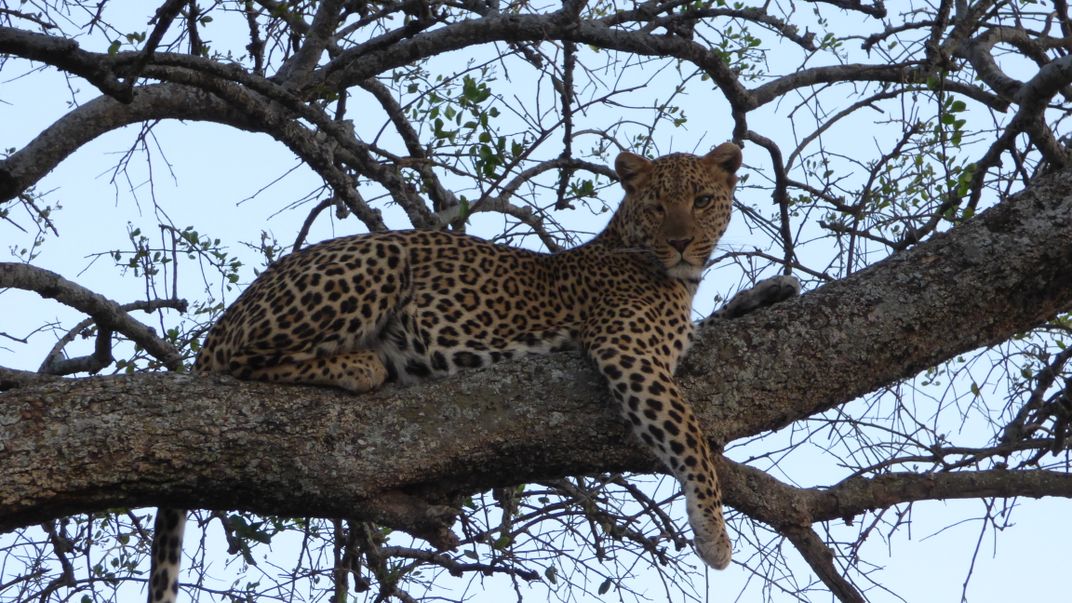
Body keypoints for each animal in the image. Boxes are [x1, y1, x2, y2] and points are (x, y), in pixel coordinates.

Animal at [147, 142, 742, 603]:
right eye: (658, 206)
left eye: (701, 201)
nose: (681, 242)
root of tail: (228, 316)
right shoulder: (628, 350)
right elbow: (690, 435)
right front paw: (714, 535)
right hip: (381, 257)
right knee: (244, 363)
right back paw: (365, 363)